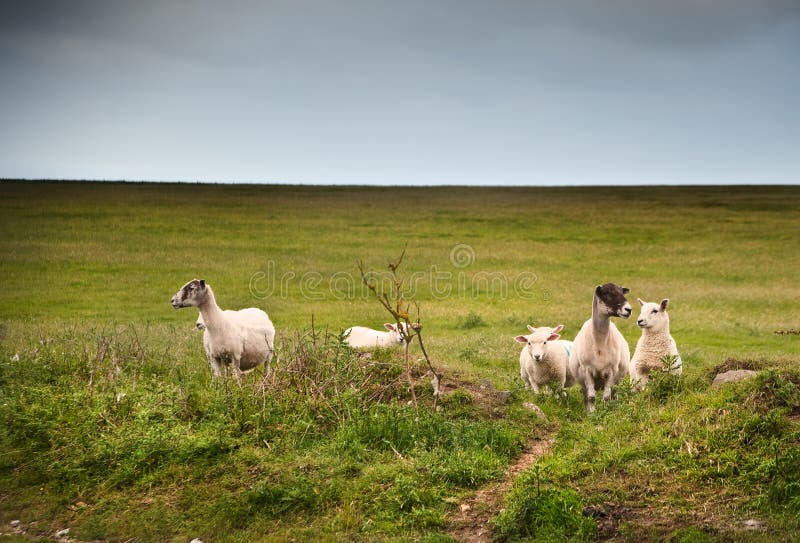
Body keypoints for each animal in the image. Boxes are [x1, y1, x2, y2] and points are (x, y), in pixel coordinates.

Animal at [568, 283, 632, 412]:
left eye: (621, 292)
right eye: (607, 293)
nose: (628, 309)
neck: (599, 344)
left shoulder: (612, 371)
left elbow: (607, 397)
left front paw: (606, 412)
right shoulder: (587, 370)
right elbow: (591, 397)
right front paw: (592, 413)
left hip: (617, 382)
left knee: (614, 395)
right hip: (582, 382)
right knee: (585, 396)